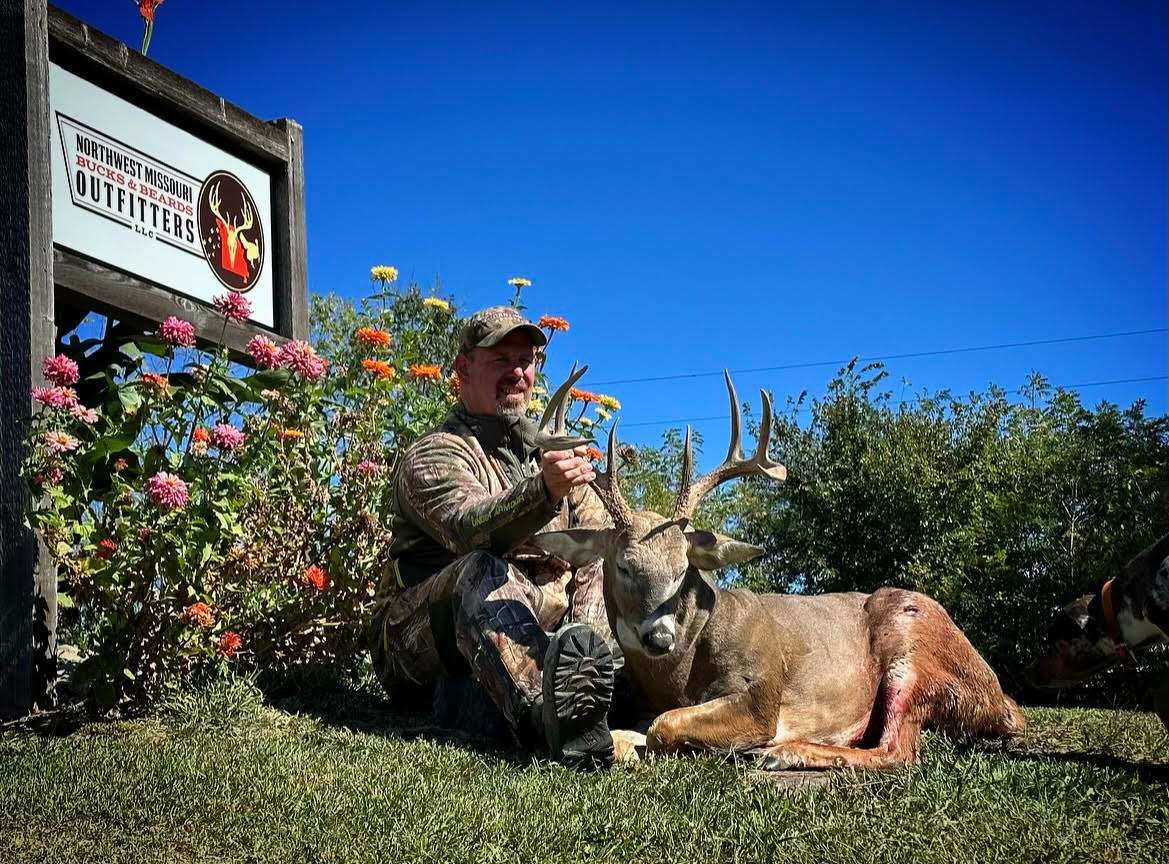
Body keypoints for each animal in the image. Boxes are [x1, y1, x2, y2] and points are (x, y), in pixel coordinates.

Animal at [532, 368, 1025, 770]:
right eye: (624, 566)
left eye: (683, 569)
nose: (660, 637)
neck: (682, 672)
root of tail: (1001, 698)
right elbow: (624, 735)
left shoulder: (761, 692)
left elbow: (663, 727)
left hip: (914, 651)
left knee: (898, 750)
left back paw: (783, 751)